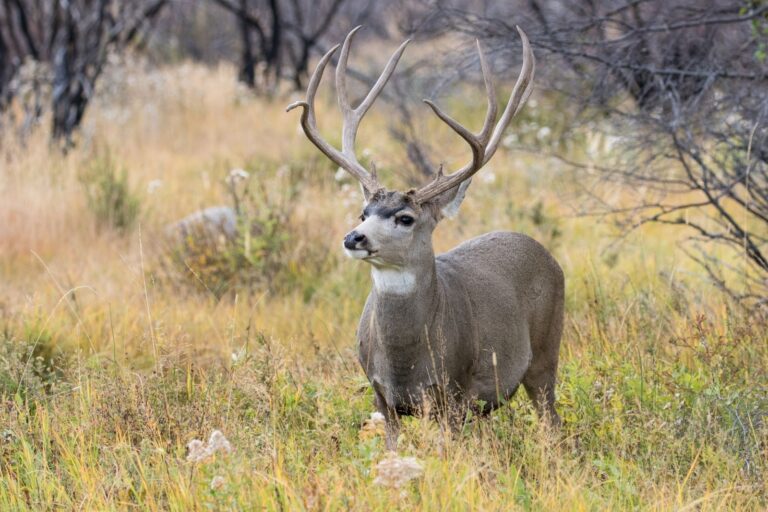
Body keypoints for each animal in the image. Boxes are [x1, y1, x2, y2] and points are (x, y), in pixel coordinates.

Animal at [287, 26, 564, 451]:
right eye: (363, 213)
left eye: (405, 218)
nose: (354, 238)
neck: (405, 361)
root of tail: (547, 255)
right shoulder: (381, 396)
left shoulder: (453, 391)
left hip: (546, 354)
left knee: (553, 421)